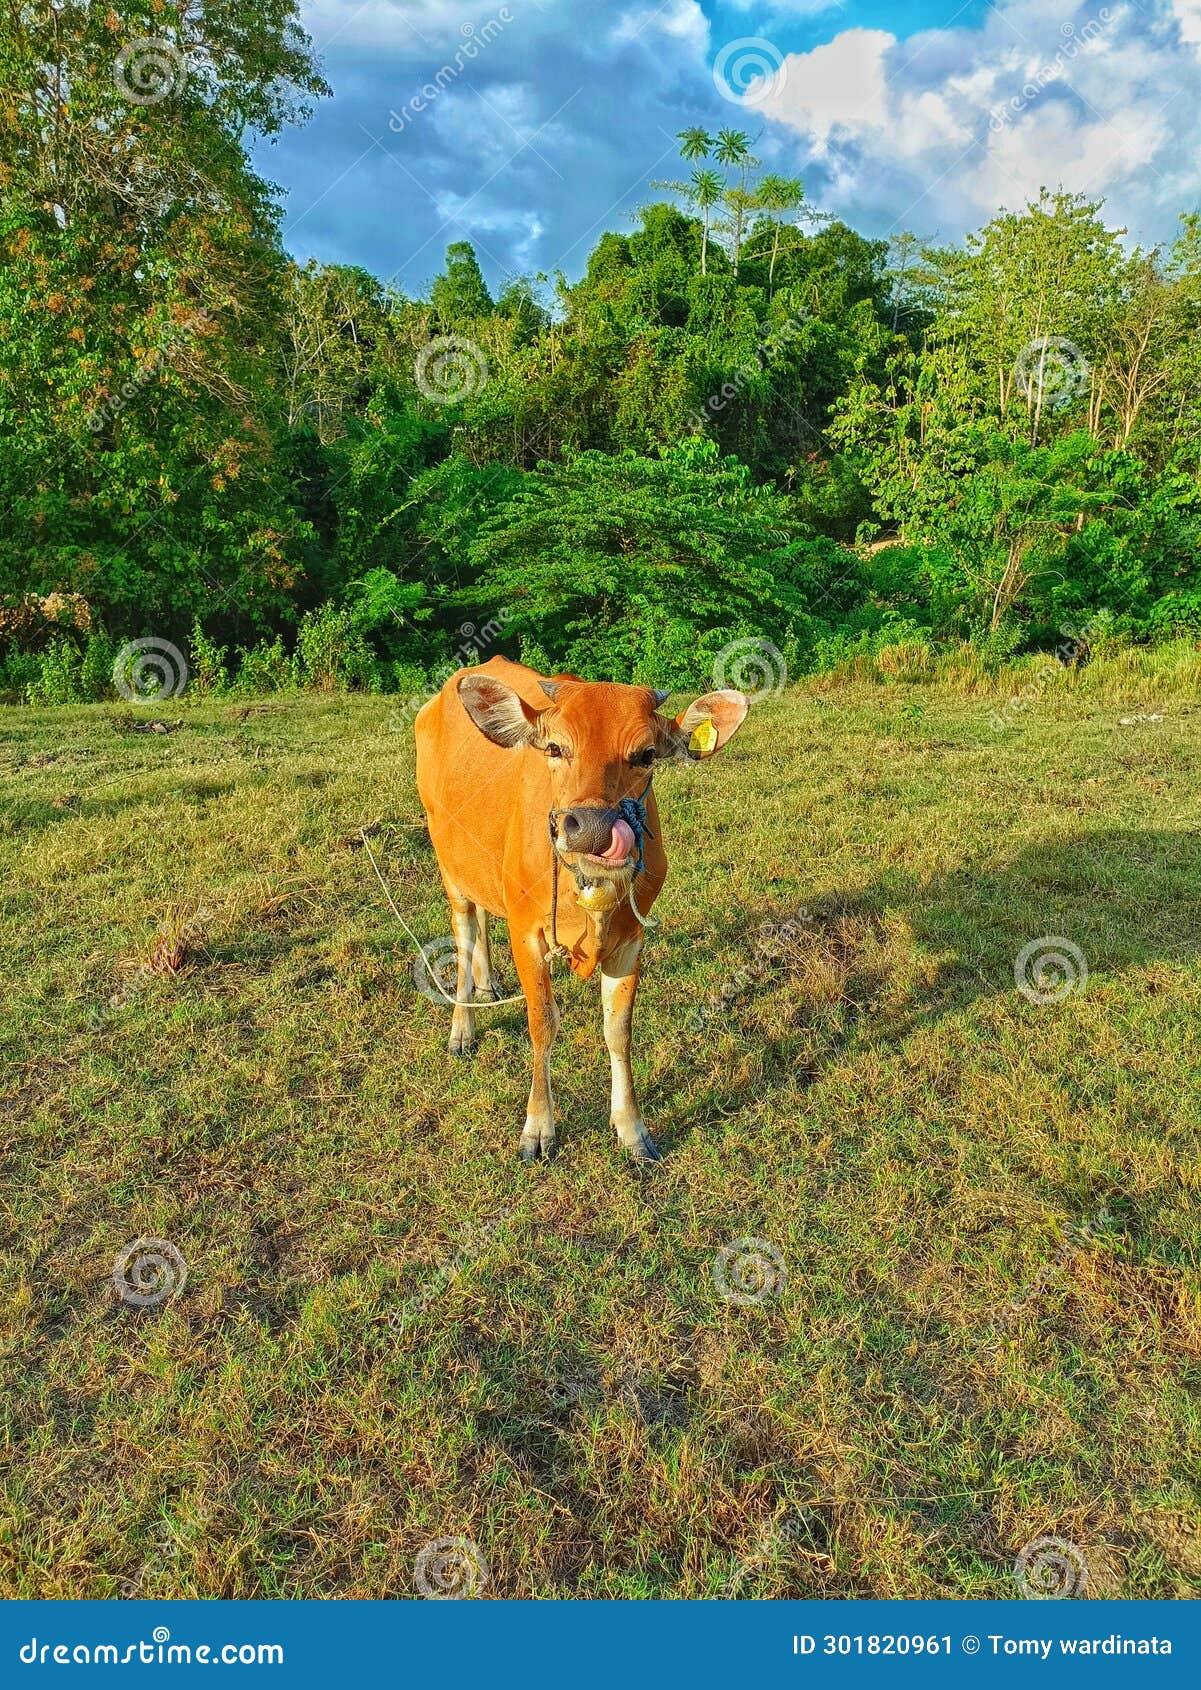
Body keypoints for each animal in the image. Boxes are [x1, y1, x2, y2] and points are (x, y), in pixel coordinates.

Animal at [414, 656, 748, 1162]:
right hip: (447, 861)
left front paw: (632, 1129)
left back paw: (488, 985)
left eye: (646, 755)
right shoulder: (527, 932)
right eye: (555, 747)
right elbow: (543, 1024)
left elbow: (618, 1030)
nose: (593, 828)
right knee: (465, 929)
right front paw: (537, 1129)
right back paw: (463, 1026)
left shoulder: (631, 939)